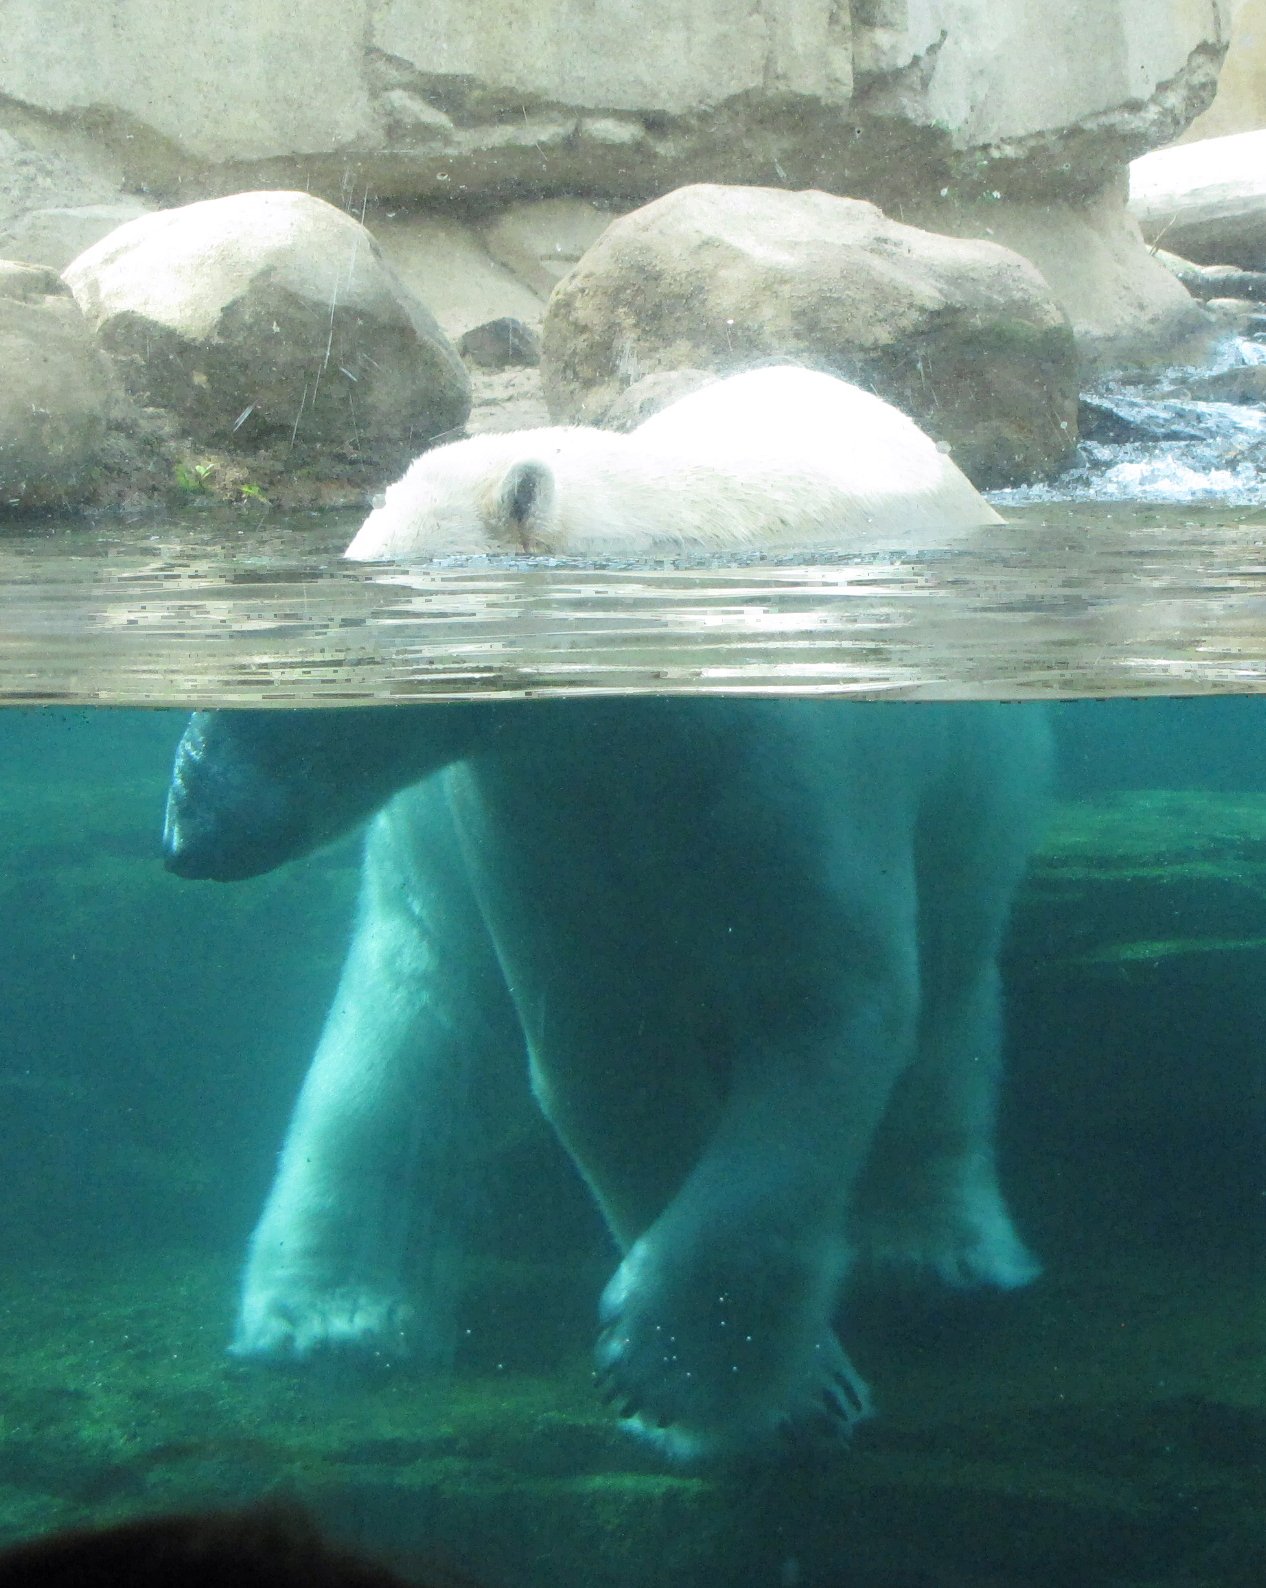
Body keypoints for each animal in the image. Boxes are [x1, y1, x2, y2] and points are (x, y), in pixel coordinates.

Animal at [165, 696, 1050, 1462]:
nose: (185, 839)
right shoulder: (536, 814)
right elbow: (609, 1054)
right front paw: (755, 1396)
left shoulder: (785, 778)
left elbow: (824, 1009)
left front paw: (684, 1374)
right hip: (425, 858)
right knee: (414, 1034)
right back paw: (329, 1317)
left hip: (977, 806)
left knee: (951, 1004)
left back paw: (937, 1260)